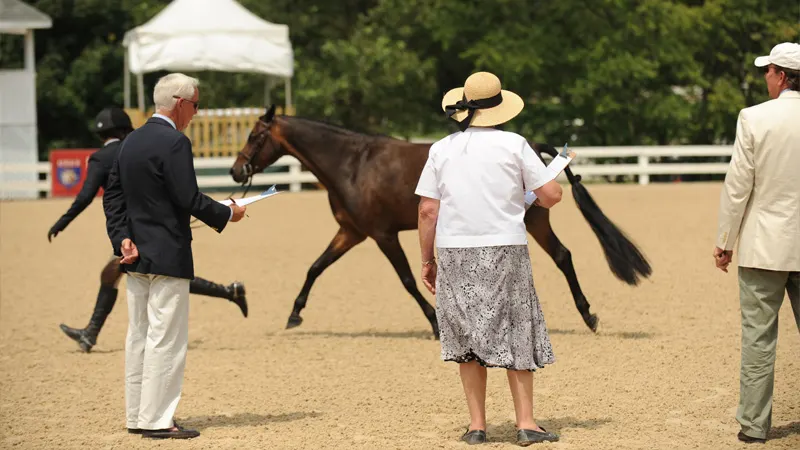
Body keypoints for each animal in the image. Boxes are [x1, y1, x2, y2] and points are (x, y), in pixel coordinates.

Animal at [229, 105, 652, 339]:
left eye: (254, 135)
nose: (235, 171)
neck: (353, 163)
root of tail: (533, 147)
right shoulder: (351, 232)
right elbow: (315, 267)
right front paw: (294, 314)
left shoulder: (382, 235)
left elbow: (407, 280)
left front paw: (434, 323)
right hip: (535, 224)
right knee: (564, 256)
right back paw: (588, 315)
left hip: (531, 223)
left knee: (562, 258)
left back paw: (587, 315)